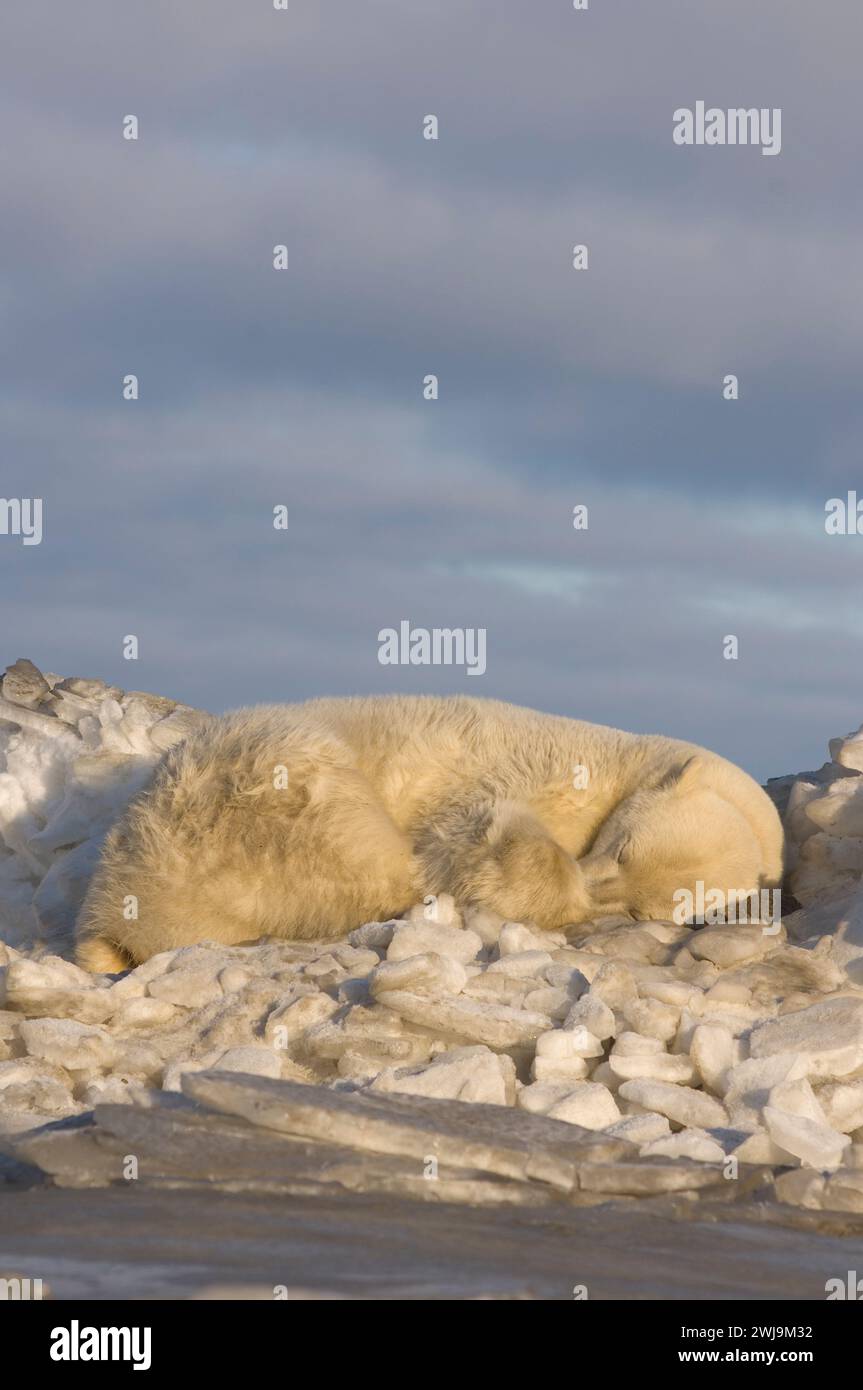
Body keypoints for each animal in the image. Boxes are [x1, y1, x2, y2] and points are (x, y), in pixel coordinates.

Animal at [74, 694, 784, 971]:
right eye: (622, 847)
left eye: (643, 908)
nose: (592, 879)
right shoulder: (533, 767)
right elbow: (470, 831)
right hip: (266, 777)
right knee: (357, 846)